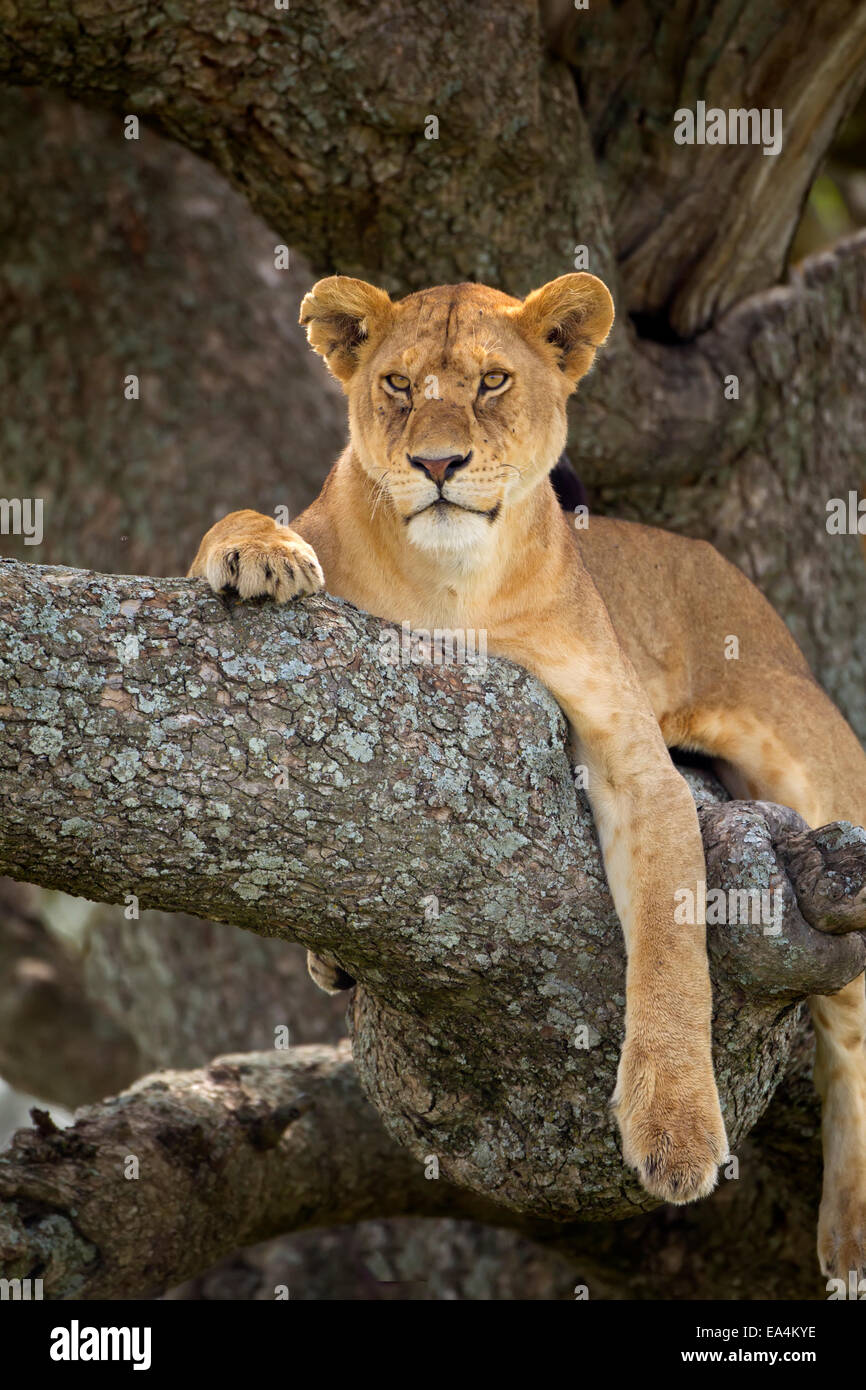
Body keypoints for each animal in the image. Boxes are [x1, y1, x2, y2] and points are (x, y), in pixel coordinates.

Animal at [189, 272, 866, 1281]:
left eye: (494, 381)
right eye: (397, 385)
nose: (436, 462)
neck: (452, 579)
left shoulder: (635, 760)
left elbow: (672, 952)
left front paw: (676, 1129)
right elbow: (242, 525)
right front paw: (257, 550)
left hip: (815, 776)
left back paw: (851, 1233)